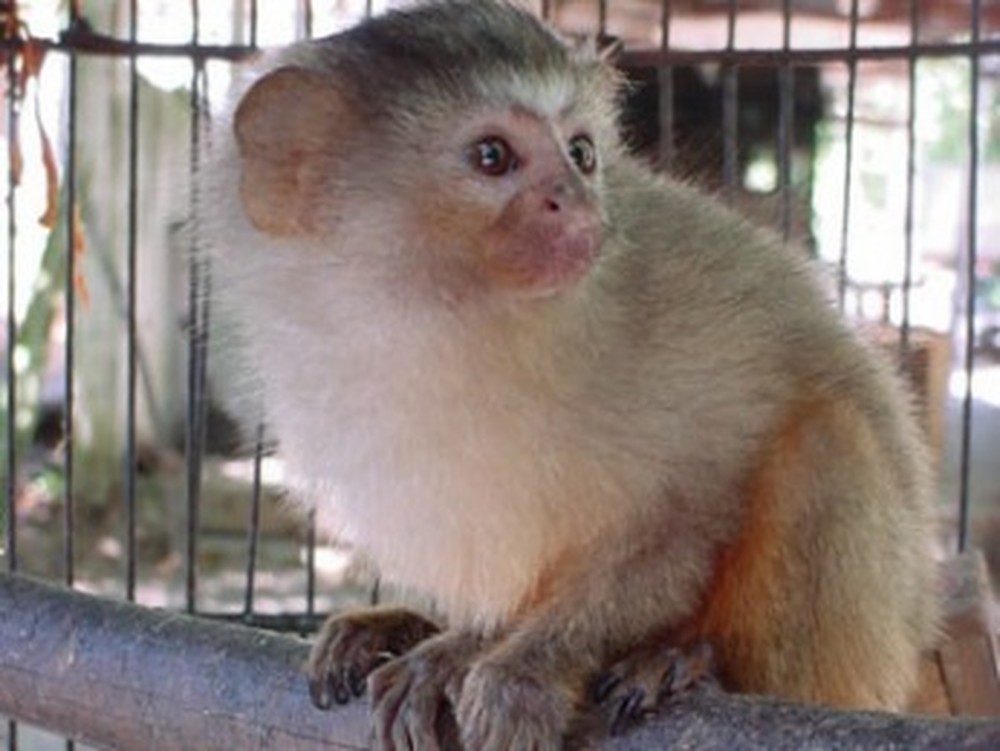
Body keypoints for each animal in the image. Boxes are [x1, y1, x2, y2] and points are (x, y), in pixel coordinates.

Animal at [202, 1, 942, 749]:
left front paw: (508, 662)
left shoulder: (674, 314)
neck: (444, 322)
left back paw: (701, 661)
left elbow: (689, 514)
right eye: (492, 157)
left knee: (828, 440)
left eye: (580, 153)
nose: (576, 200)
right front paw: (442, 632)